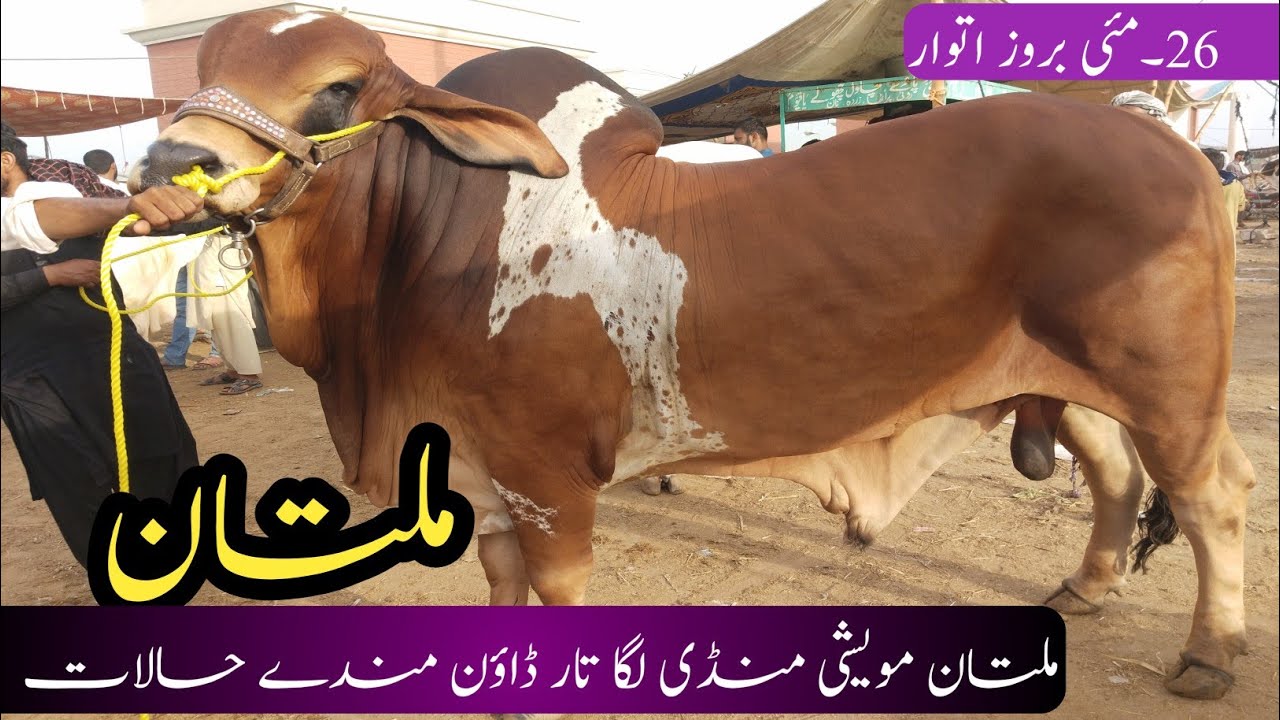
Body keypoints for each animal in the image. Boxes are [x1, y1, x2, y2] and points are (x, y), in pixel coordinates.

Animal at [133, 9, 1255, 701]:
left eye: (338, 86)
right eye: (205, 71)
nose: (168, 164)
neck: (429, 233)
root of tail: (1171, 146)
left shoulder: (549, 485)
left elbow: (557, 600)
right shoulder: (482, 472)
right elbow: (497, 594)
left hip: (1170, 388)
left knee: (1211, 496)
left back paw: (1209, 654)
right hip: (1067, 383)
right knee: (1119, 475)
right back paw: (1088, 587)